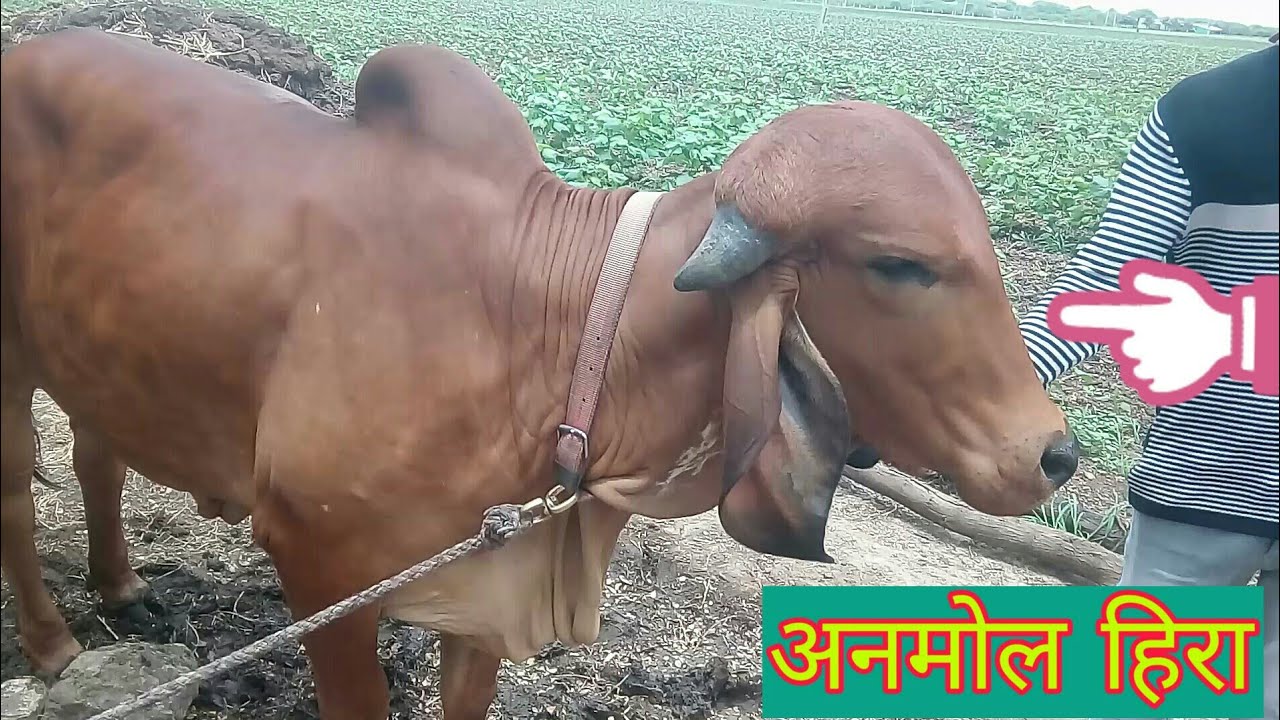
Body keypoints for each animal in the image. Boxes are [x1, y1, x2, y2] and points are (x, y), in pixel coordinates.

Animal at [0, 28, 1080, 720]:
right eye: (899, 265)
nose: (1054, 455)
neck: (537, 332)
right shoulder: (319, 569)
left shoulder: (484, 580)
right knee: (15, 492)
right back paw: (54, 646)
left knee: (97, 452)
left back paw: (123, 586)